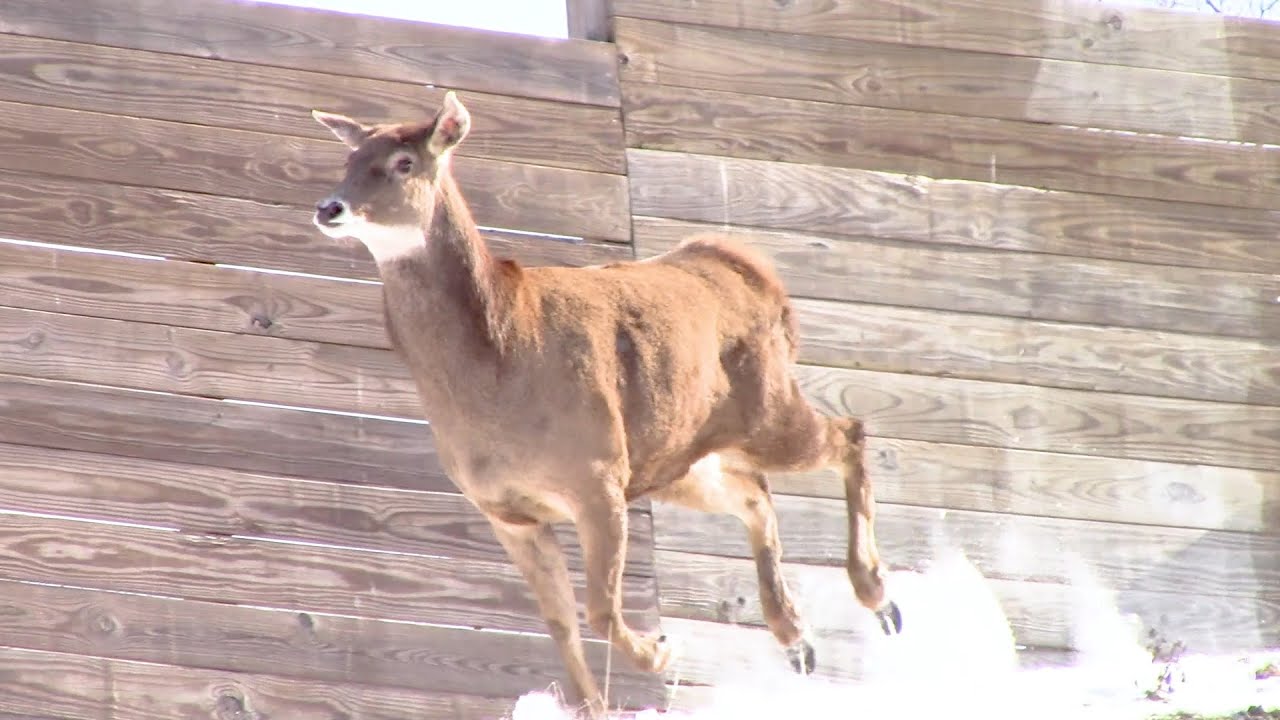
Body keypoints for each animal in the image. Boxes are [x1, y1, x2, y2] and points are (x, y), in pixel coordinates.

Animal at [309, 91, 902, 717]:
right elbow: (559, 624)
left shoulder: (594, 475)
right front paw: (595, 702)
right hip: (676, 457)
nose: (330, 207)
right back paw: (799, 642)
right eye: (350, 157)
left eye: (404, 161)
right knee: (757, 496)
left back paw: (878, 598)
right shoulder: (506, 511)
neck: (497, 366)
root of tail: (757, 274)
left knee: (849, 432)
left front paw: (661, 651)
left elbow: (599, 609)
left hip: (764, 406)